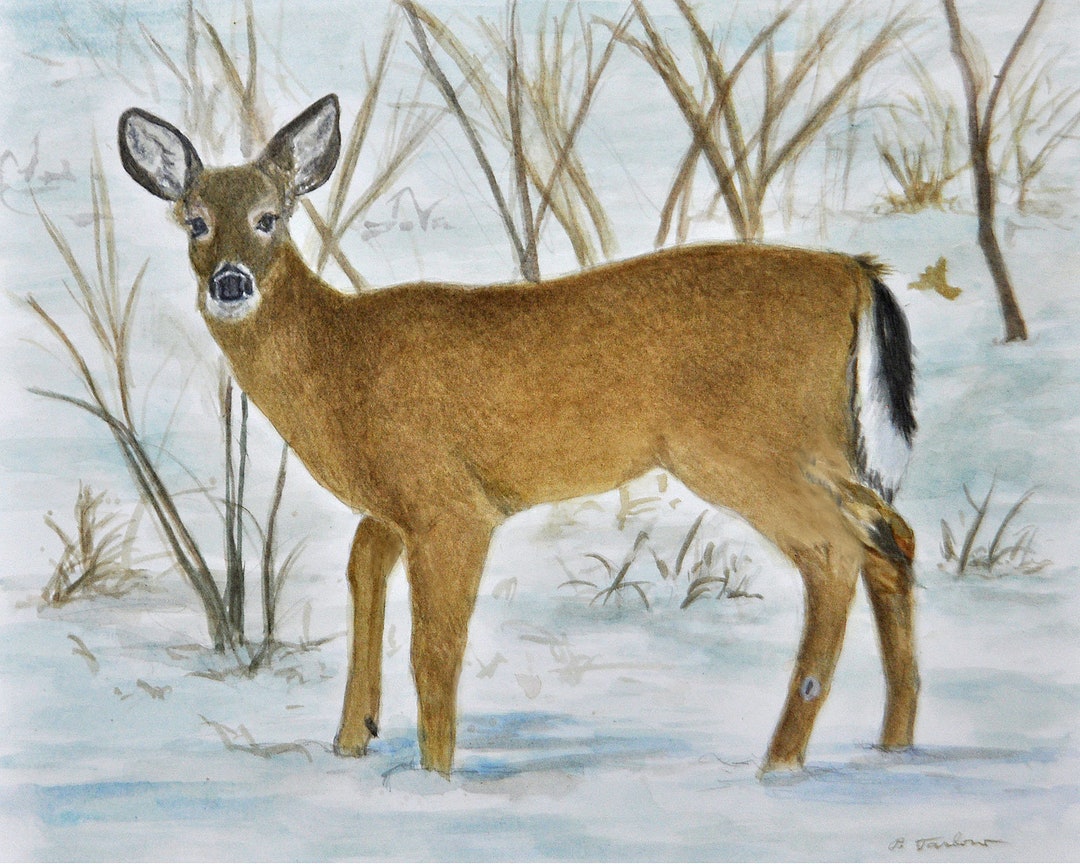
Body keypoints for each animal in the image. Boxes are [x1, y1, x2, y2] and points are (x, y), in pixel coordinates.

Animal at [118, 94, 919, 777]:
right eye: (194, 221)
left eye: (270, 217)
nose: (230, 283)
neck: (341, 364)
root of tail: (855, 274)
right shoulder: (391, 510)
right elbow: (362, 581)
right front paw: (353, 741)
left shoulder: (450, 504)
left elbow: (435, 651)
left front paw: (435, 776)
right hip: (823, 444)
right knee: (891, 535)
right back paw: (895, 742)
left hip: (744, 446)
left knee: (835, 554)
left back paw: (780, 762)